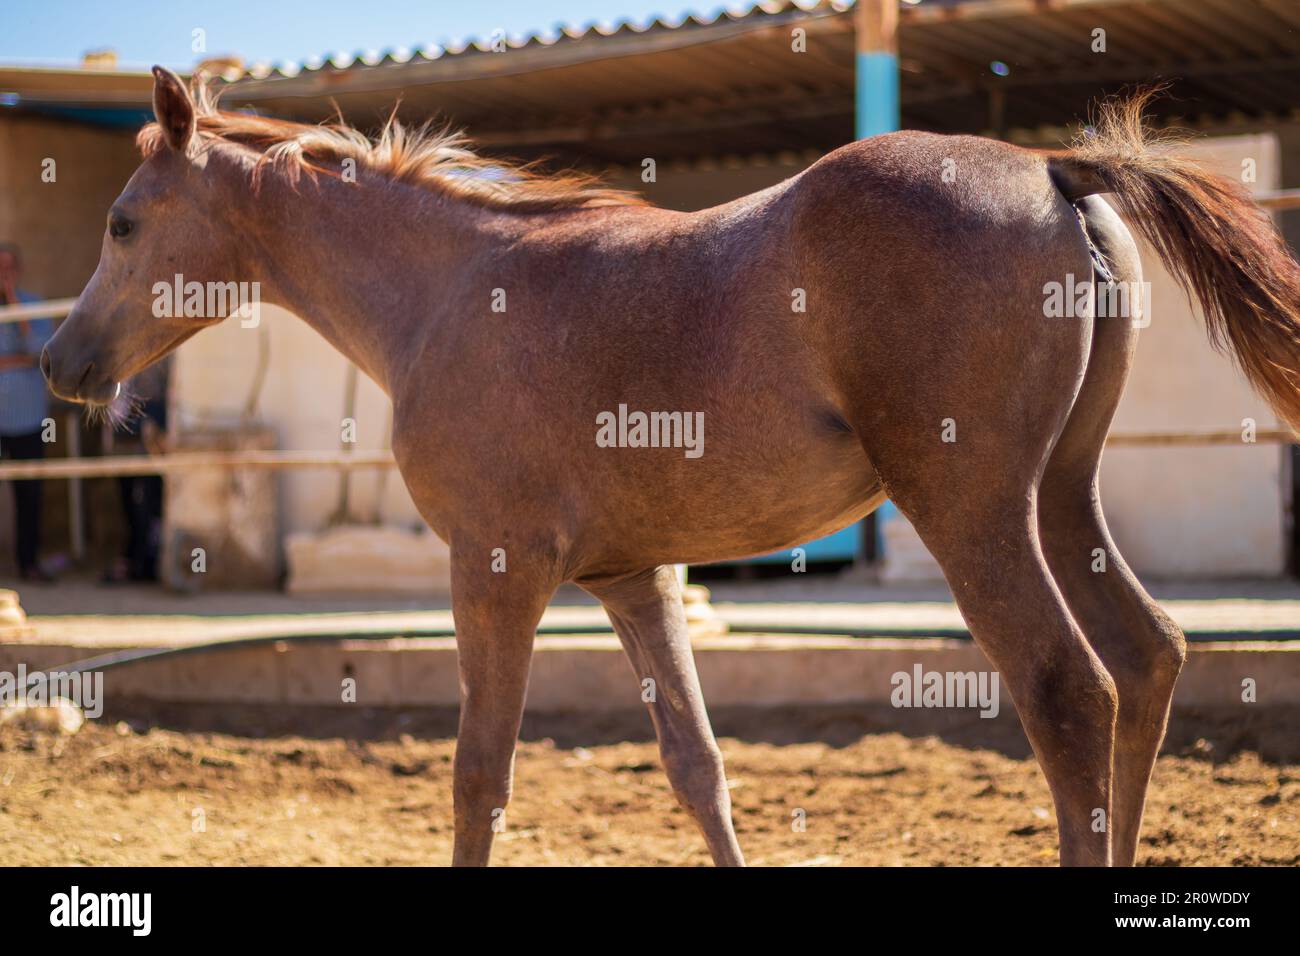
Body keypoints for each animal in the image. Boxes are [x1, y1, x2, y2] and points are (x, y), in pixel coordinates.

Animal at [42, 67, 1300, 866]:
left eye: (122, 221)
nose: (58, 362)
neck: (448, 293)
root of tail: (1053, 173)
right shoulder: (632, 576)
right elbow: (696, 765)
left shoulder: (496, 566)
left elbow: (478, 772)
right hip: (1060, 492)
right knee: (1149, 655)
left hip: (972, 508)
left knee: (1067, 689)